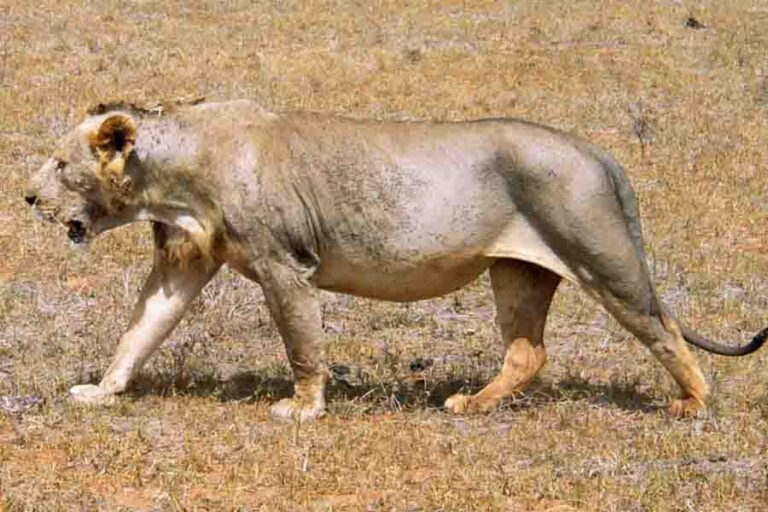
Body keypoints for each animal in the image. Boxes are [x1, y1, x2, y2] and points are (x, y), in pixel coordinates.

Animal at [24, 99, 767, 421]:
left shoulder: (283, 264)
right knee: (527, 353)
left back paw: (692, 404)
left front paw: (303, 410)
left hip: (598, 253)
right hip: (518, 271)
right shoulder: (182, 262)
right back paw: (470, 405)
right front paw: (101, 391)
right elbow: (139, 332)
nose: (28, 196)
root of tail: (597, 151)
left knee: (661, 327)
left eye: (60, 164)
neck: (173, 178)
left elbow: (302, 347)